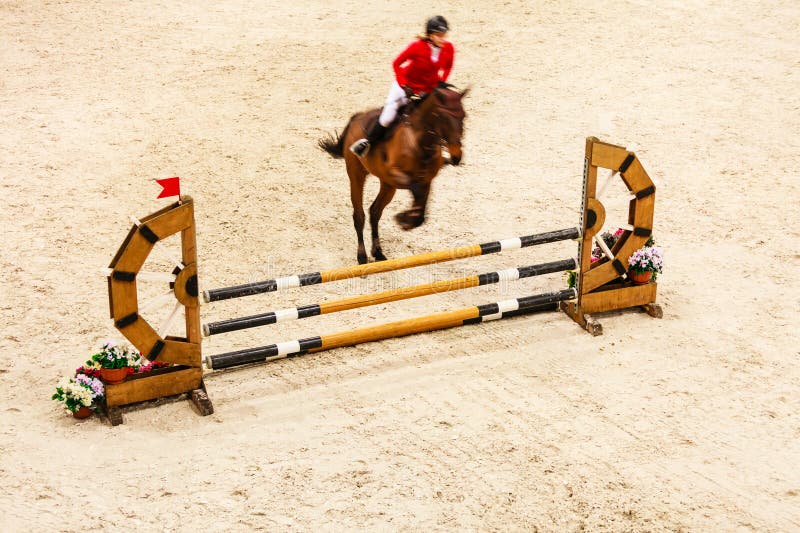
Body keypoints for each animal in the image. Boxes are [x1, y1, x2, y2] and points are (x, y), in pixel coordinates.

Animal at [319, 86, 468, 264]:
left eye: (463, 116)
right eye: (444, 118)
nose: (456, 156)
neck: (422, 143)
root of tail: (357, 117)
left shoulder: (426, 180)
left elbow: (421, 206)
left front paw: (408, 220)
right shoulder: (396, 174)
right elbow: (416, 190)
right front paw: (403, 218)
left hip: (388, 185)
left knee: (375, 212)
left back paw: (378, 252)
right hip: (356, 174)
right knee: (359, 215)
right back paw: (362, 256)